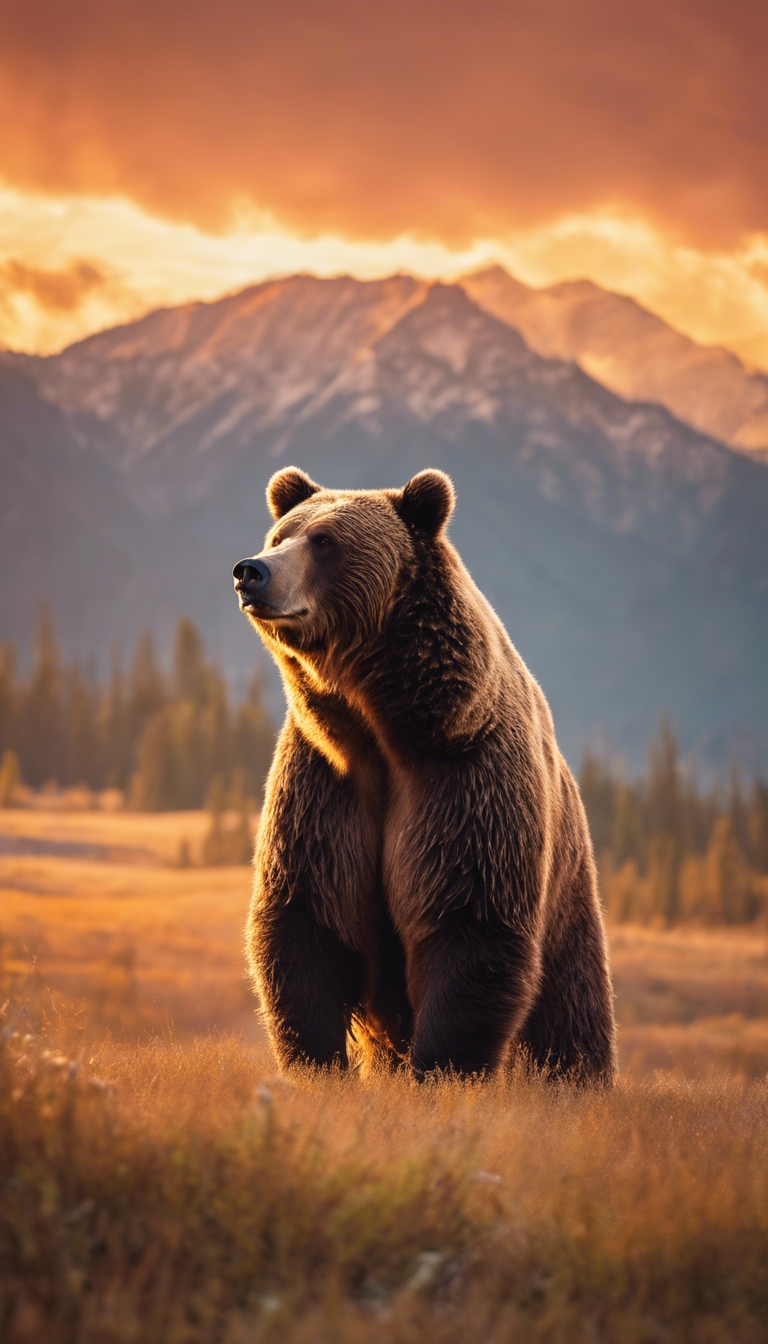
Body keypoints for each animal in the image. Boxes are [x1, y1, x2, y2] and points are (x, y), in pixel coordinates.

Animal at [233, 466, 617, 1083]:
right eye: (279, 536)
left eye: (325, 541)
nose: (252, 572)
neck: (380, 723)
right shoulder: (324, 782)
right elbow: (305, 920)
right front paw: (319, 1067)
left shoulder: (464, 776)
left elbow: (469, 924)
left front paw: (440, 1073)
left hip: (568, 898)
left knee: (568, 1011)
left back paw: (572, 1078)